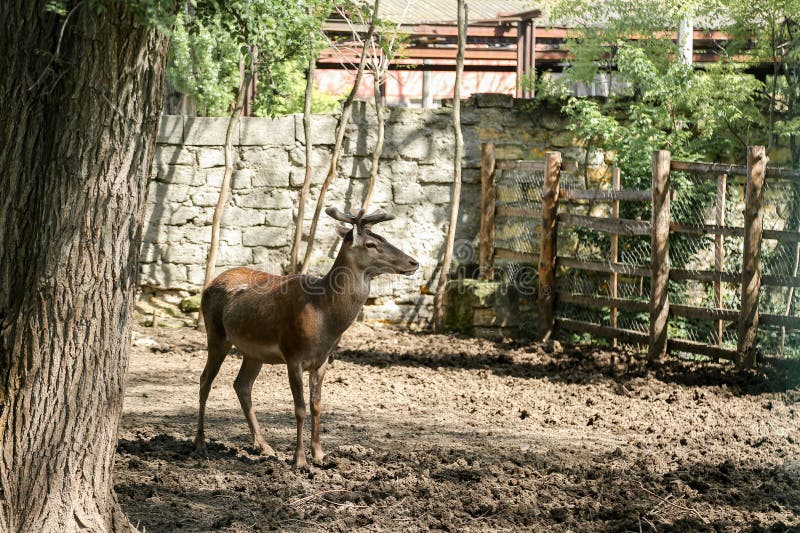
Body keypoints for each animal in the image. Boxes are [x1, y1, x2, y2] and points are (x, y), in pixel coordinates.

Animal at [194, 207, 419, 468]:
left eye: (383, 237)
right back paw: (200, 444)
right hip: (216, 333)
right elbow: (300, 407)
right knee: (205, 380)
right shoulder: (293, 354)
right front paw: (299, 459)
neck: (324, 317)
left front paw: (319, 455)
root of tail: (210, 283)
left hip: (253, 352)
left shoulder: (323, 360)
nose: (414, 262)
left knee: (241, 384)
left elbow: (317, 405)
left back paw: (264, 446)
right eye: (371, 244)